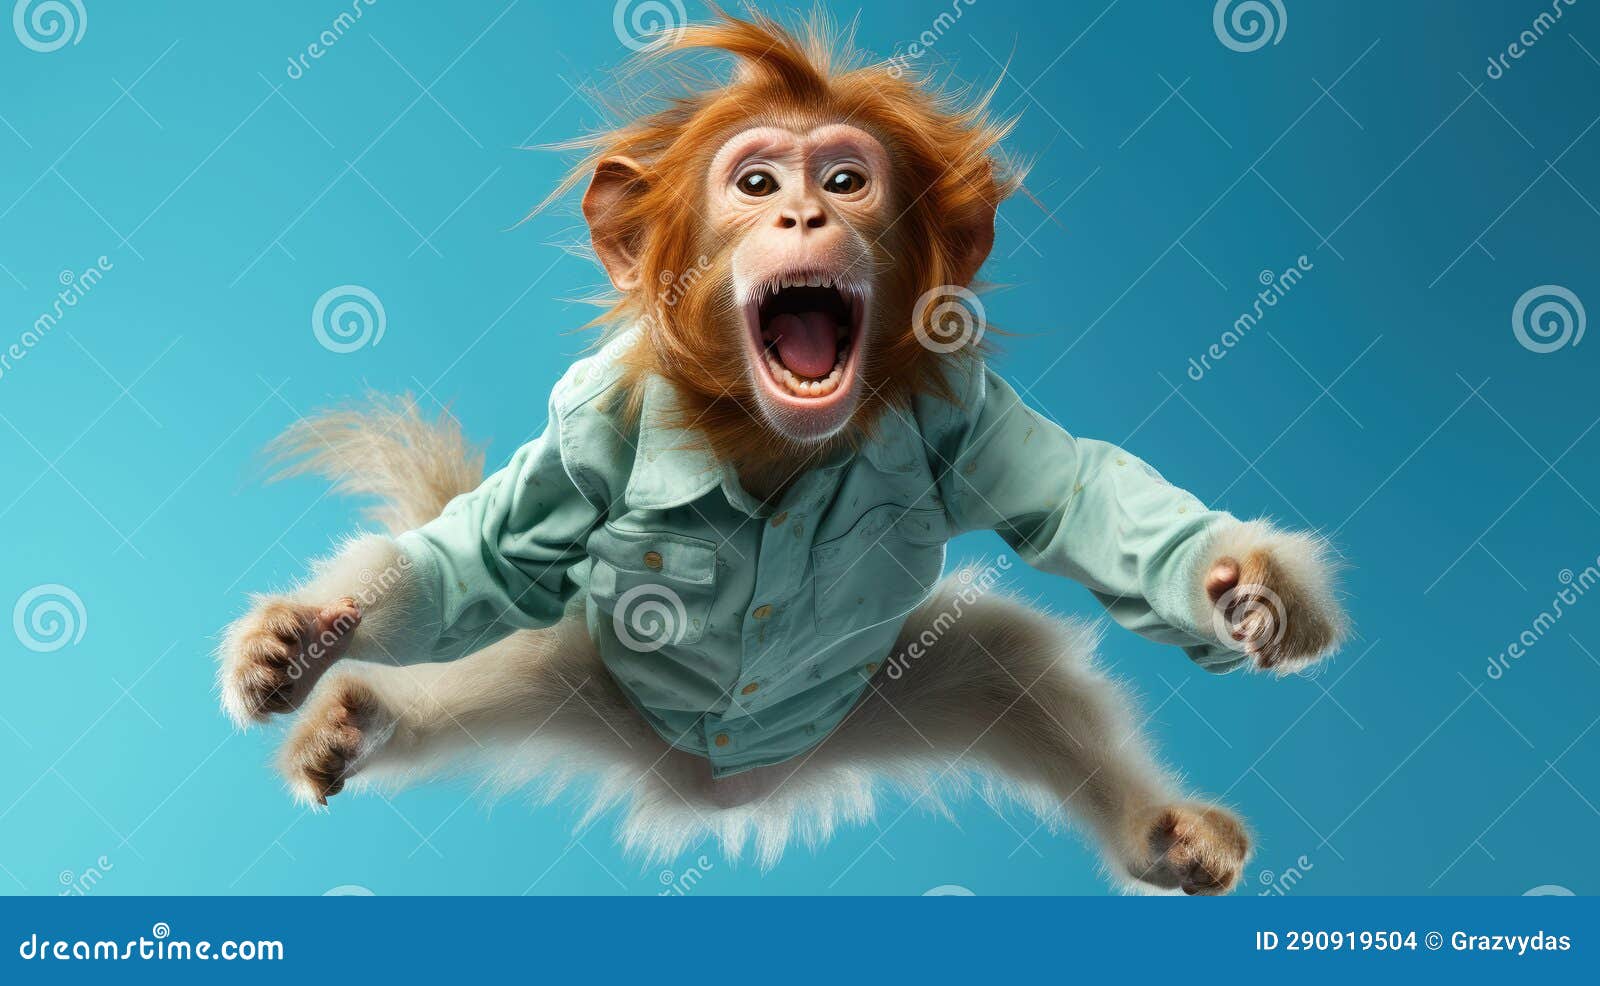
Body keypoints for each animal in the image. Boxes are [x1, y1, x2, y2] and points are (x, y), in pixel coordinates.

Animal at [216, 11, 1347, 894]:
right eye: (756, 182)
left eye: (847, 179)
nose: (804, 213)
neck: (762, 436)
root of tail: (731, 784)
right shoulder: (590, 426)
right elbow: (487, 560)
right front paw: (304, 639)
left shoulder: (962, 412)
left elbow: (1080, 500)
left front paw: (1249, 590)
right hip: (590, 676)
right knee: (490, 672)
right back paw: (361, 717)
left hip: (883, 692)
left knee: (1008, 669)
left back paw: (1155, 834)